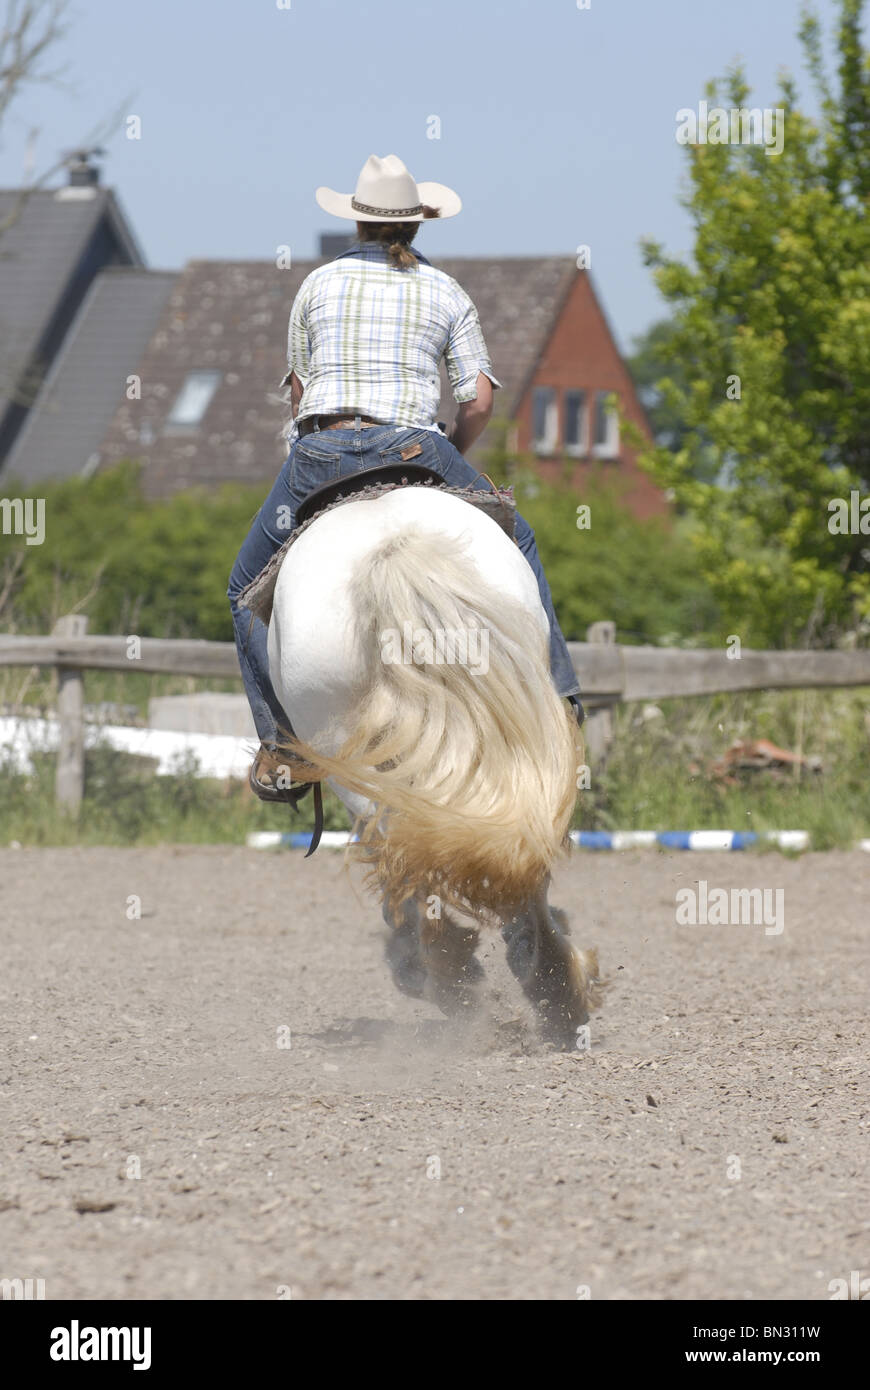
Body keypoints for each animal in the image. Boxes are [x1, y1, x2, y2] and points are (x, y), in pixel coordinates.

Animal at [266, 483, 604, 1048]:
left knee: (405, 854)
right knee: (512, 859)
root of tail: (390, 550)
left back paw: (455, 978)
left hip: (351, 764)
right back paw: (550, 987)